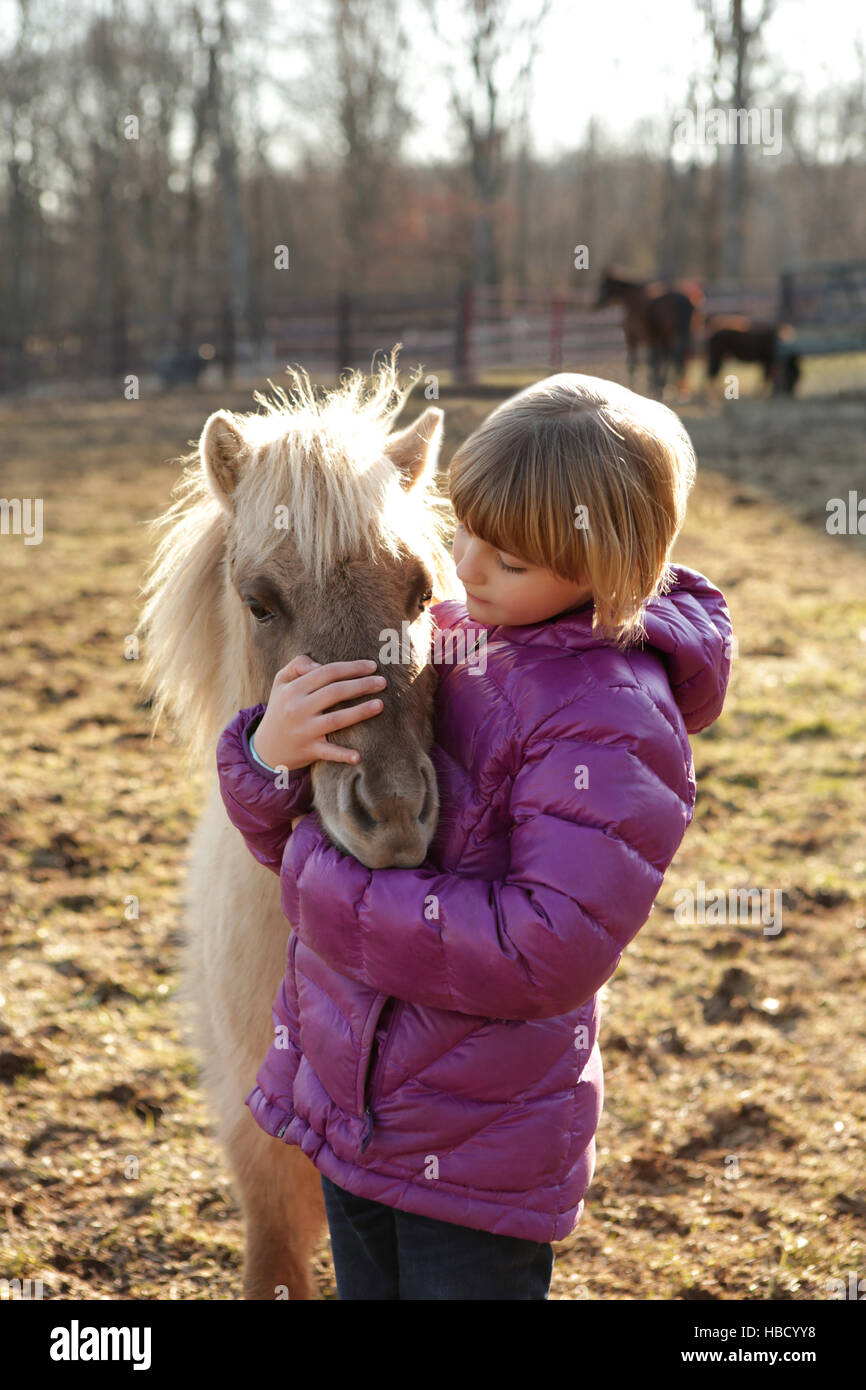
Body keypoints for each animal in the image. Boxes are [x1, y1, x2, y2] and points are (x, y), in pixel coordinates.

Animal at [595, 267, 704, 398]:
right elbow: (653, 362)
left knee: (674, 358)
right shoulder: (654, 339)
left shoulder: (635, 339)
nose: (595, 304)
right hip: (676, 335)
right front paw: (655, 387)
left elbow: (638, 364)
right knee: (675, 358)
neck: (634, 303)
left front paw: (638, 387)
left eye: (604, 286)